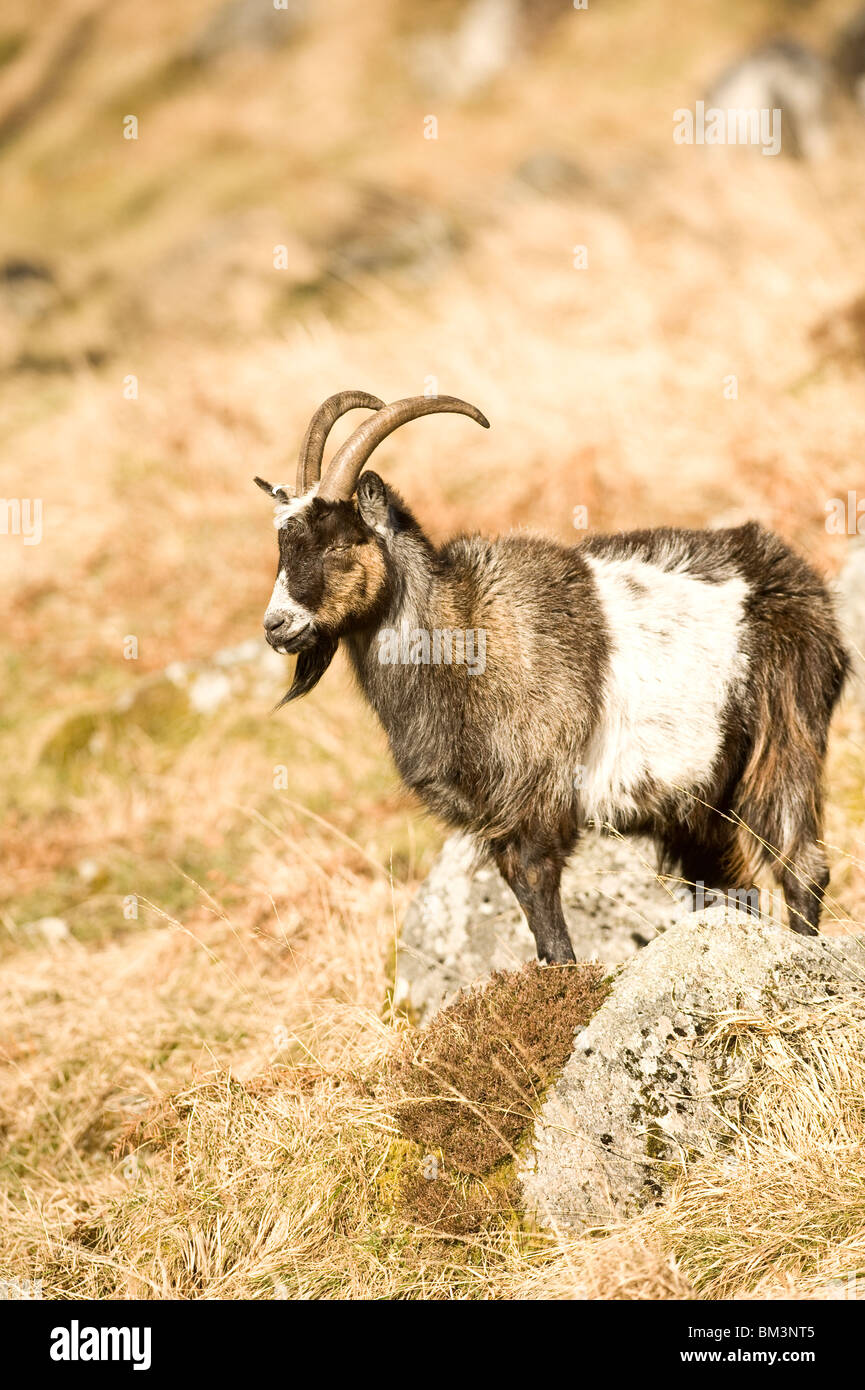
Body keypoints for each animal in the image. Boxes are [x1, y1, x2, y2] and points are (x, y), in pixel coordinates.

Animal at [254, 391, 849, 962]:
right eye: (282, 545)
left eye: (338, 542)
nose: (277, 626)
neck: (462, 633)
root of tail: (801, 585)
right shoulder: (496, 815)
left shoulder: (534, 800)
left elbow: (539, 895)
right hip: (699, 801)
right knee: (729, 886)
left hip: (785, 742)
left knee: (801, 865)